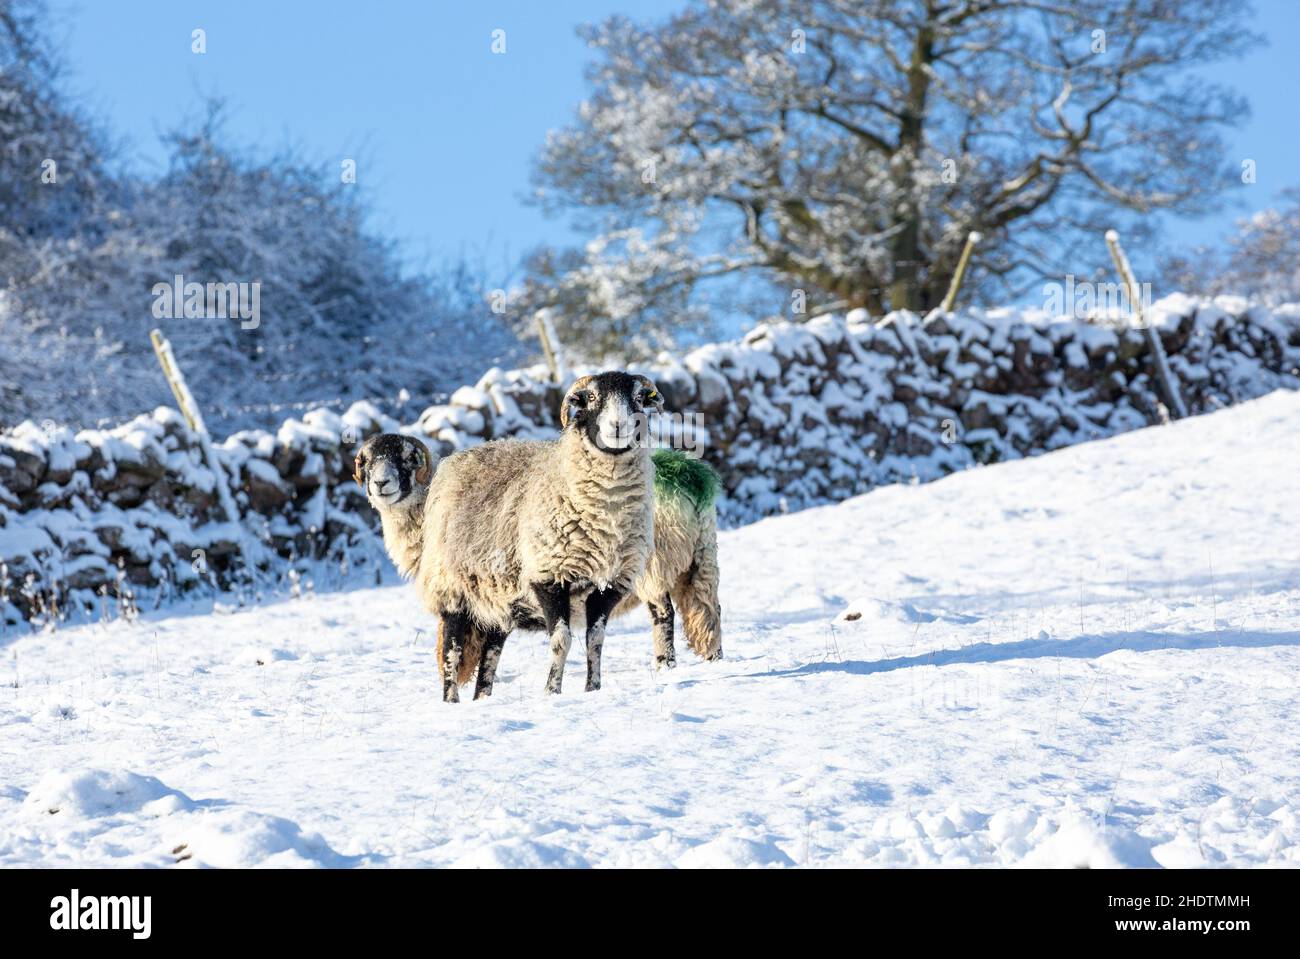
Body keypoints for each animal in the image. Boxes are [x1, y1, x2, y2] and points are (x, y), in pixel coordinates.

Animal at [355, 372, 662, 701]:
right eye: (591, 398)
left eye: (638, 398)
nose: (618, 426)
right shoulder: (547, 577)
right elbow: (563, 640)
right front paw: (555, 692)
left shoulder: (610, 586)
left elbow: (595, 641)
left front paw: (590, 689)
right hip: (455, 591)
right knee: (452, 654)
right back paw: (452, 702)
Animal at [356, 438, 723, 695]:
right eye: (367, 460)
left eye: (407, 458)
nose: (381, 485)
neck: (423, 522)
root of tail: (692, 479)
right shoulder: (497, 610)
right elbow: (486, 674)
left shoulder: (456, 598)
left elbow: (453, 661)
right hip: (702, 558)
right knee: (709, 613)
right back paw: (712, 661)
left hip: (652, 568)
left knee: (664, 615)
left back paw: (665, 666)